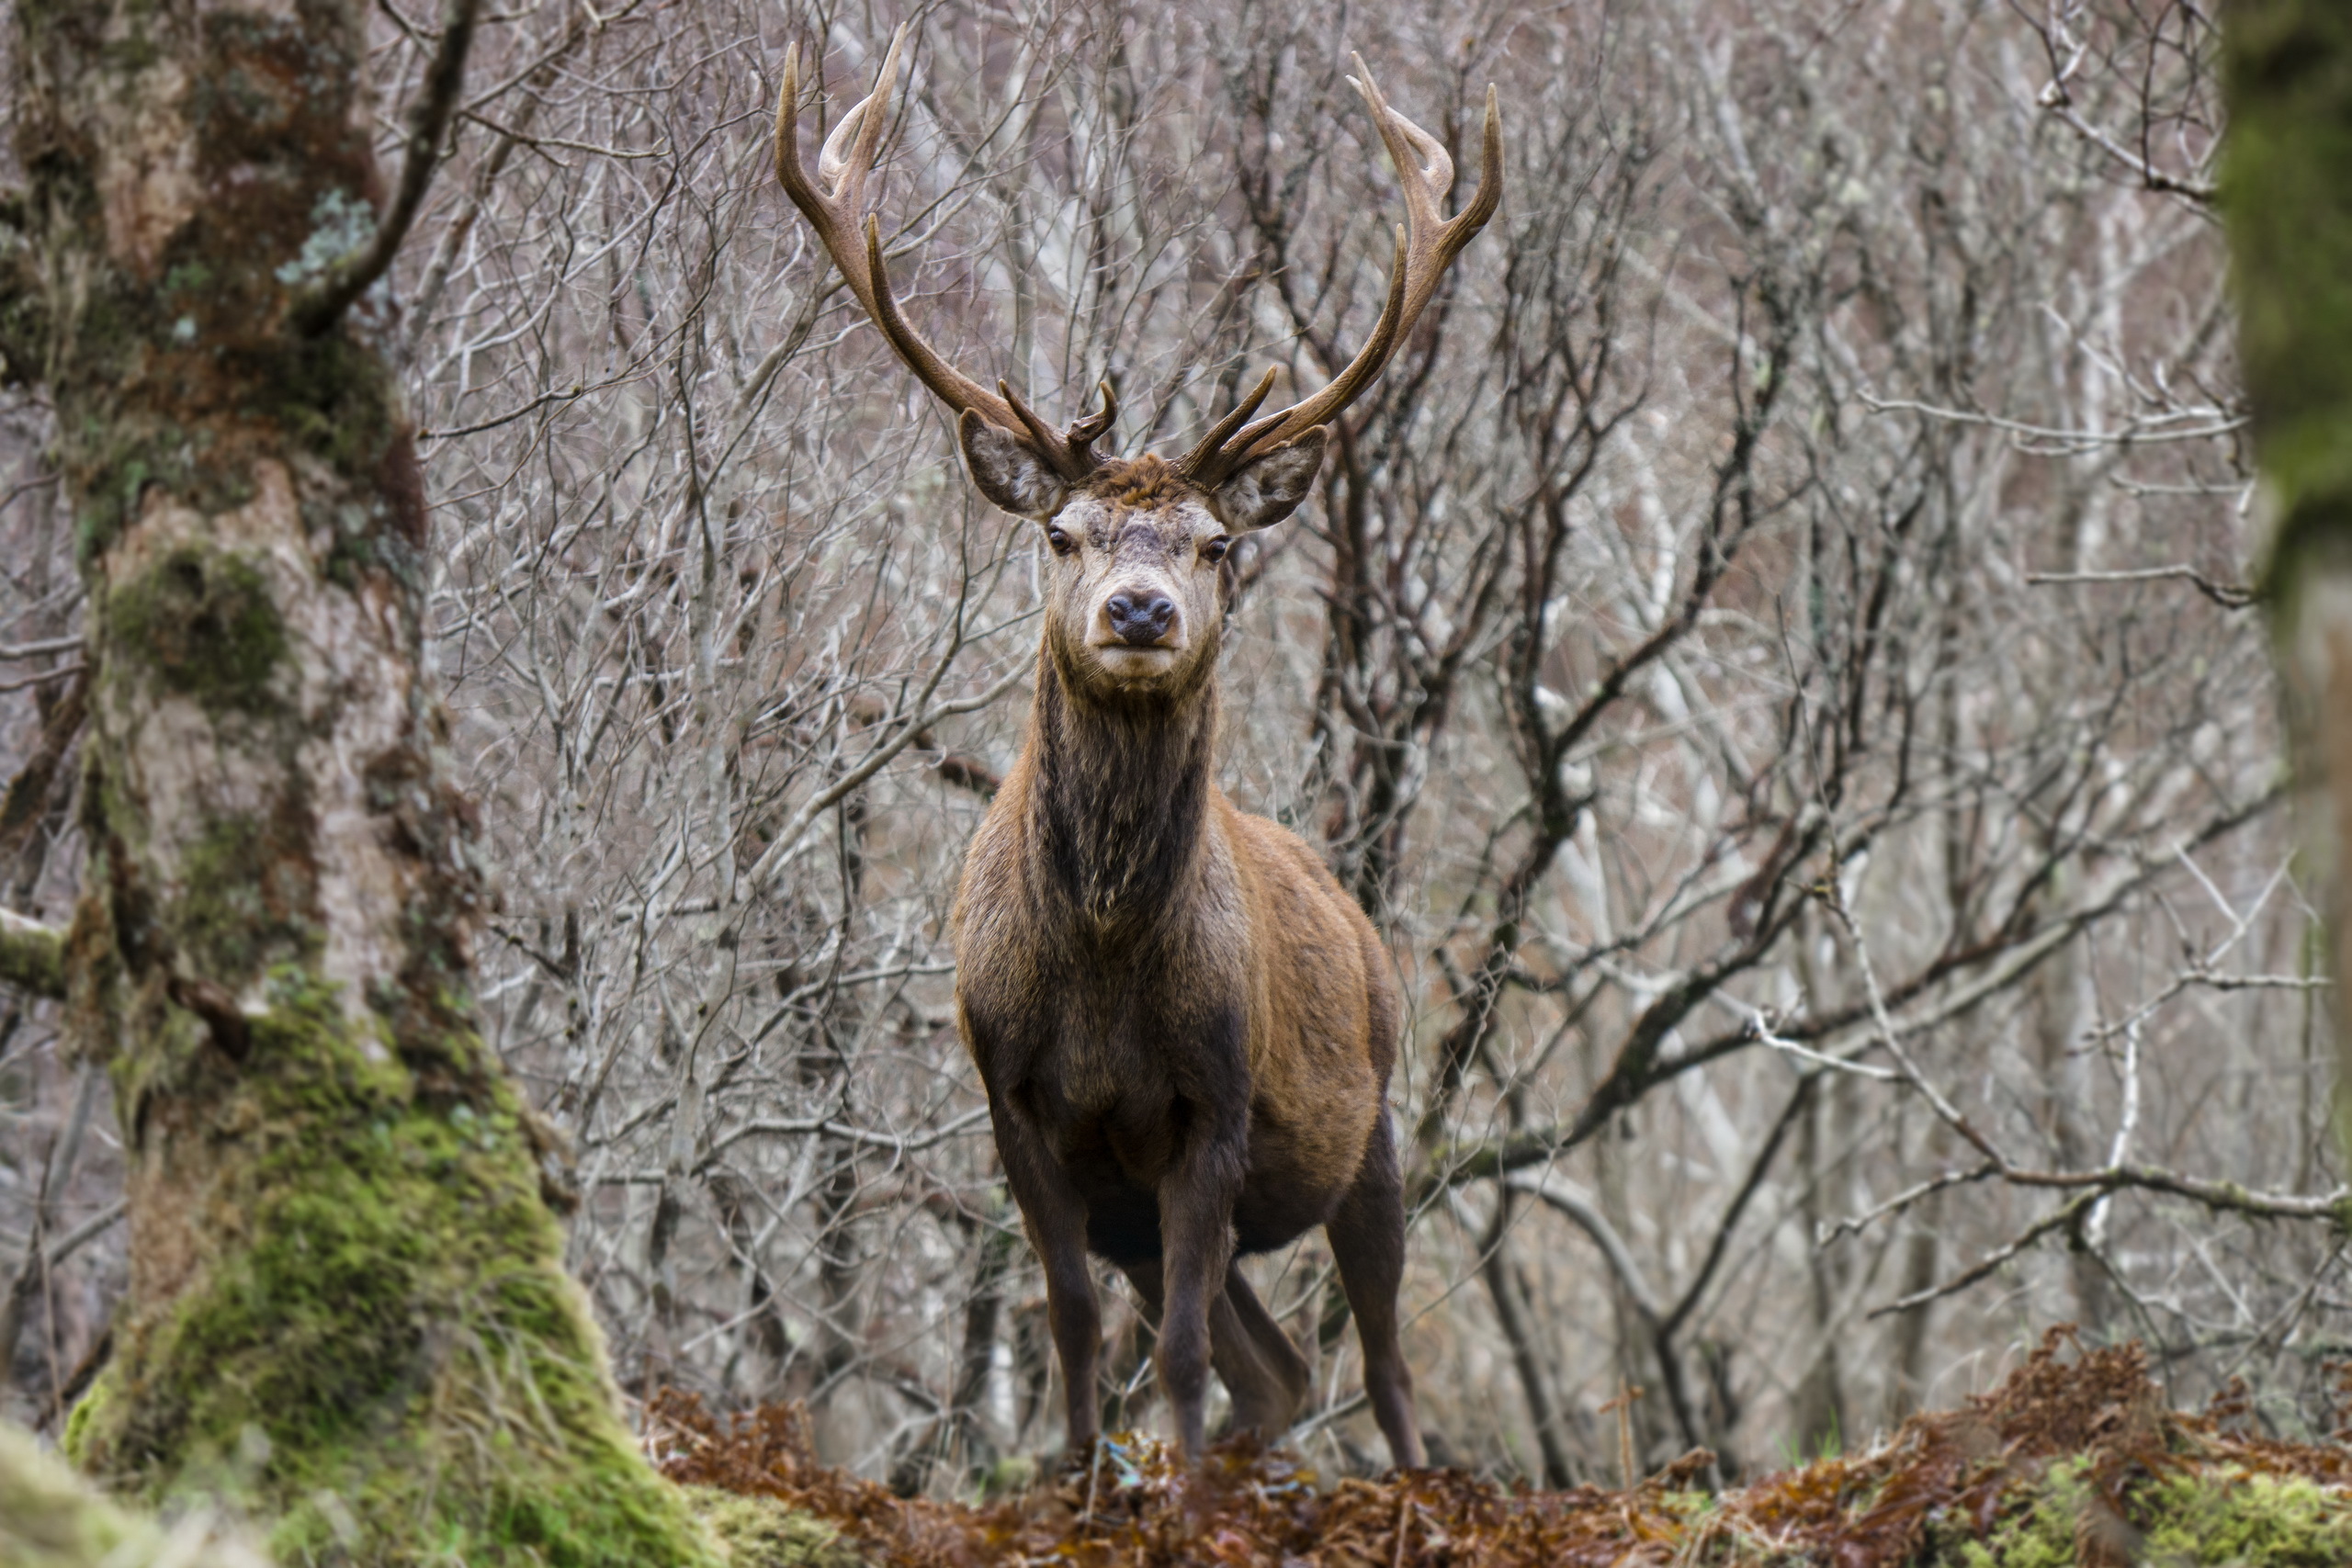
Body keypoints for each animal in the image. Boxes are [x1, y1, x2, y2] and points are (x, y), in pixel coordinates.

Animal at [773, 30, 1501, 1469]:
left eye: (1216, 544)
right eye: (1063, 532)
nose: (1141, 610)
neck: (1104, 968)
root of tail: (1354, 907)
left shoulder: (1213, 1104)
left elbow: (1171, 1354)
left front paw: (1169, 1494)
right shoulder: (1016, 1104)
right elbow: (1068, 1325)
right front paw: (1079, 1482)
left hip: (1376, 1124)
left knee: (1380, 1361)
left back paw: (1403, 1483)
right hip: (1164, 1209)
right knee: (1279, 1367)